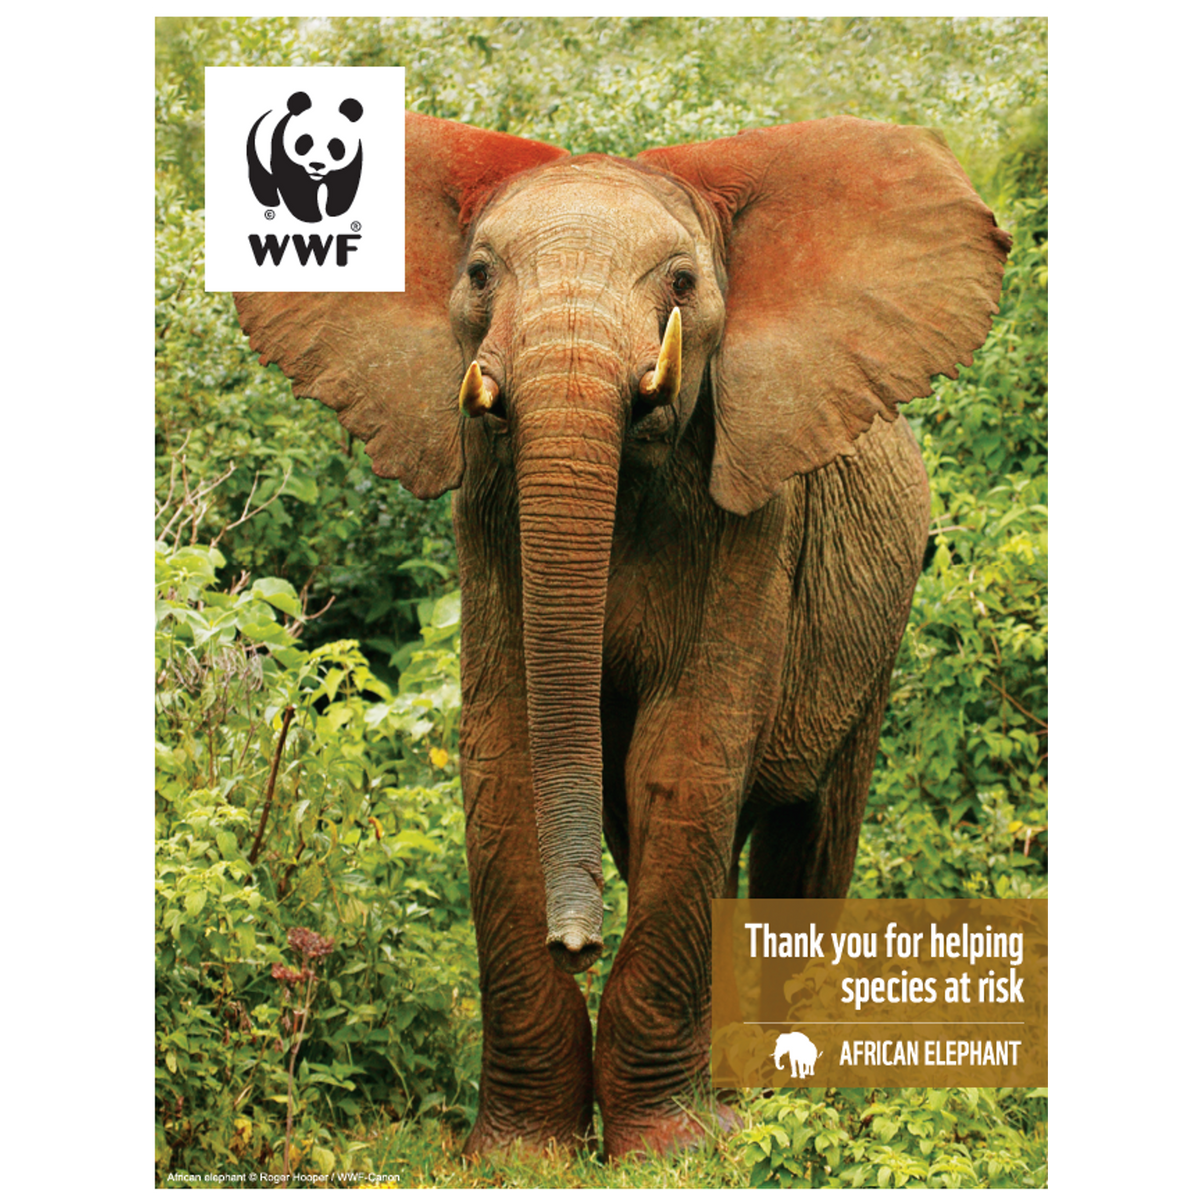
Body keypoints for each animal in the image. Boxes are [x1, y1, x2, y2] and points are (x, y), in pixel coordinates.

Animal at [235, 111, 1008, 1159]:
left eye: (681, 283)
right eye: (479, 273)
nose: (578, 942)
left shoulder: (752, 521)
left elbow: (684, 757)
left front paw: (683, 1150)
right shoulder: (490, 512)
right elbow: (509, 759)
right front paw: (522, 1155)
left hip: (879, 628)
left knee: (808, 838)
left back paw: (781, 1101)